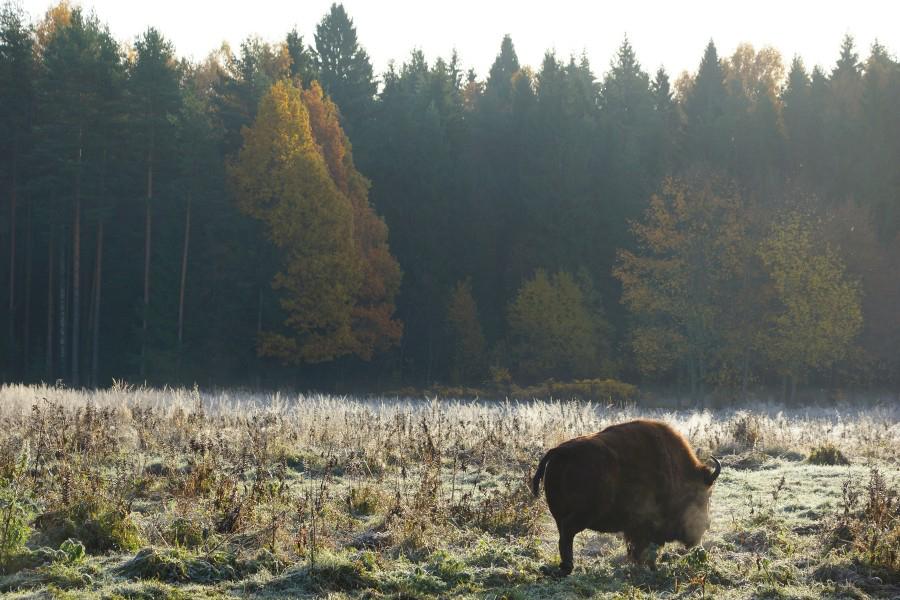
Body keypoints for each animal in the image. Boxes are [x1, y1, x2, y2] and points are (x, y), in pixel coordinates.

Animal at [532, 420, 720, 576]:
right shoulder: (642, 526)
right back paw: (567, 568)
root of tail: (558, 452)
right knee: (567, 534)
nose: (706, 525)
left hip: (559, 514)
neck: (672, 470)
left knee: (564, 536)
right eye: (705, 495)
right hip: (583, 515)